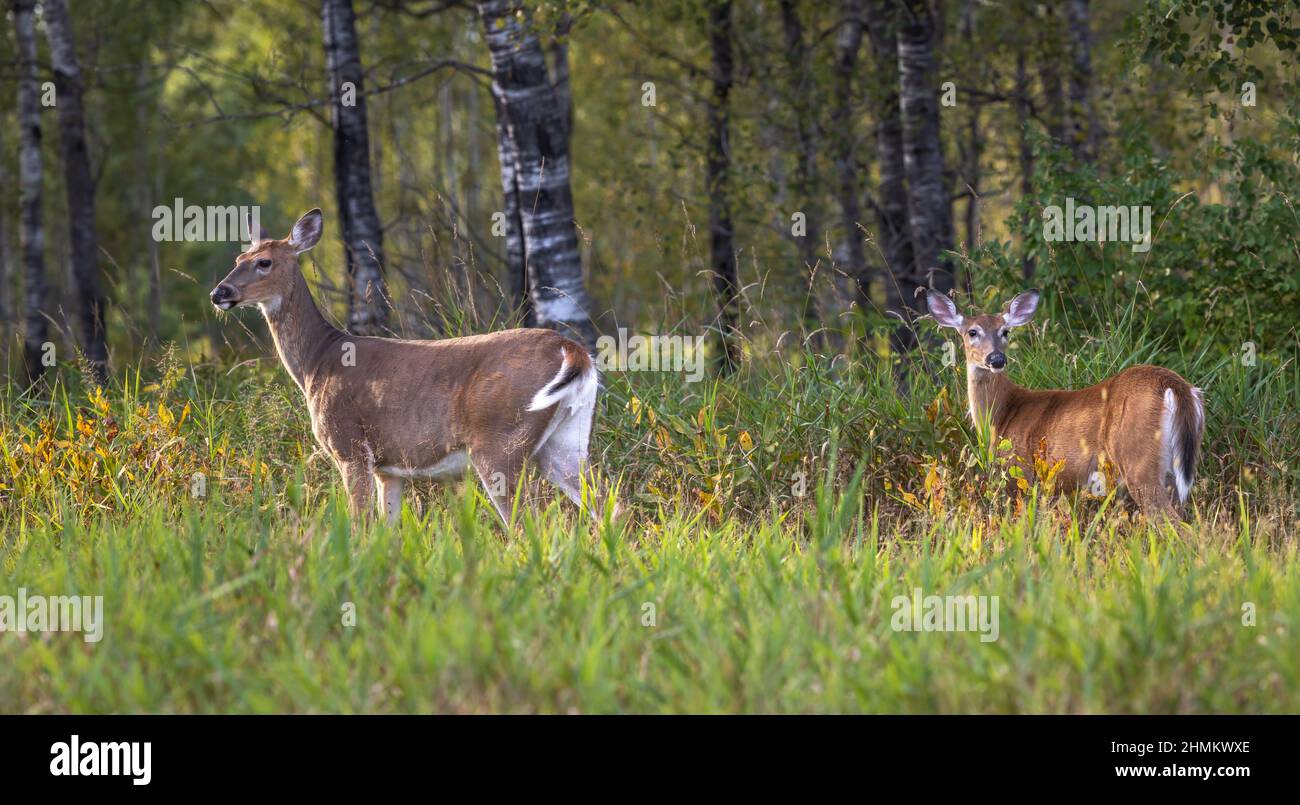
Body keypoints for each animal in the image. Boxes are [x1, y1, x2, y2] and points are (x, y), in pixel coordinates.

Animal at [211, 208, 602, 527]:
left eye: (264, 262)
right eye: (238, 256)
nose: (219, 292)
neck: (316, 362)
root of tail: (571, 349)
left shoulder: (349, 446)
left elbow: (360, 524)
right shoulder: (389, 469)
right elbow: (387, 531)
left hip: (499, 441)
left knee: (527, 522)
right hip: (567, 440)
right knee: (604, 503)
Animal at [925, 289, 1205, 517]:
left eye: (1005, 331)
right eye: (972, 332)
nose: (996, 359)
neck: (1002, 414)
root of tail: (1175, 385)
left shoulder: (1020, 470)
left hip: (1138, 459)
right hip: (1176, 467)